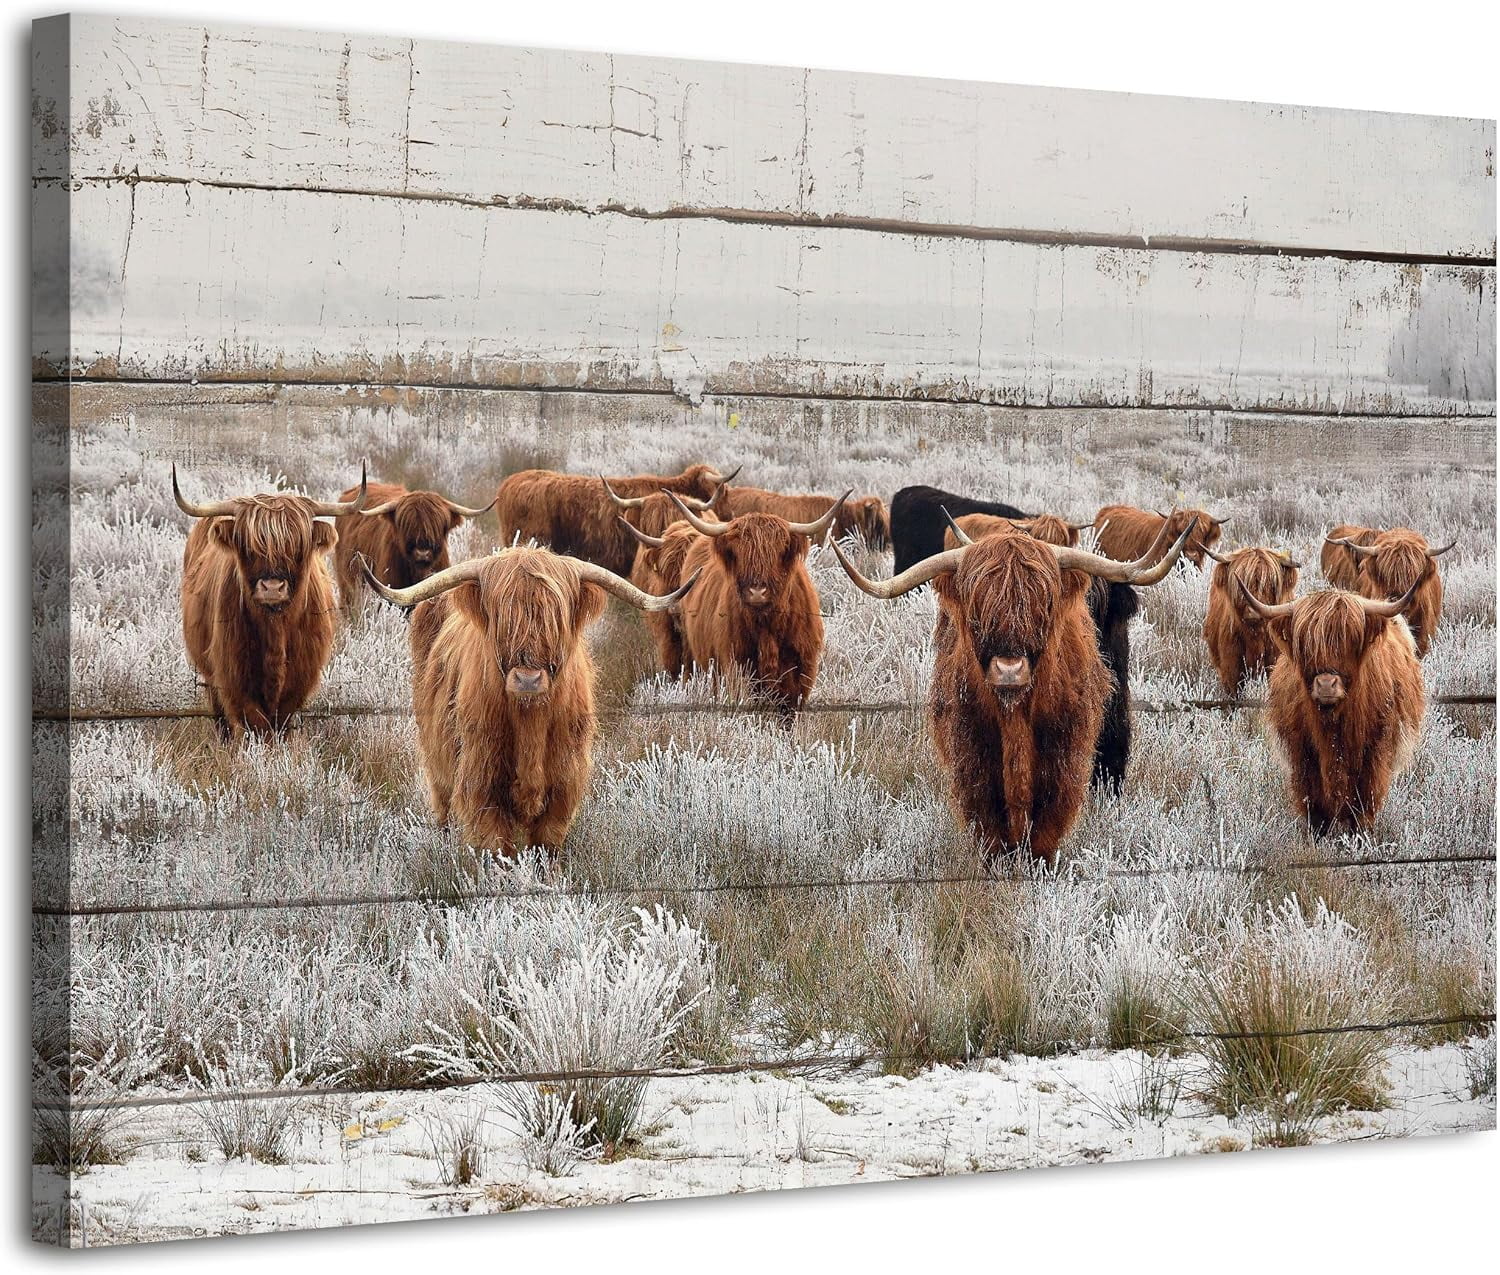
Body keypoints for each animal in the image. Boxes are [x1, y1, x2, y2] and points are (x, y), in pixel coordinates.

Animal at [173, 464, 368, 738]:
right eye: (248, 546)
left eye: (298, 547)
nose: (272, 588)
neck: (275, 628)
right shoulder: (234, 680)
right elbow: (257, 725)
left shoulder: (299, 682)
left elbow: (280, 725)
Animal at [360, 547, 699, 852]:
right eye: (501, 617)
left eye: (555, 619)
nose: (527, 679)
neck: (529, 724)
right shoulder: (481, 786)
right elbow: (498, 851)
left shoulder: (563, 788)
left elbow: (545, 849)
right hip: (438, 766)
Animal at [664, 492, 848, 710]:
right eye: (738, 552)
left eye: (779, 551)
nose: (757, 592)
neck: (766, 627)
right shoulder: (736, 667)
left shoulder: (801, 674)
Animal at [1237, 580, 1425, 835]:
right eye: (1304, 644)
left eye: (1351, 639)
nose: (1326, 684)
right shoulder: (1303, 755)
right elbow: (1315, 807)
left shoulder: (1375, 753)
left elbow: (1363, 804)